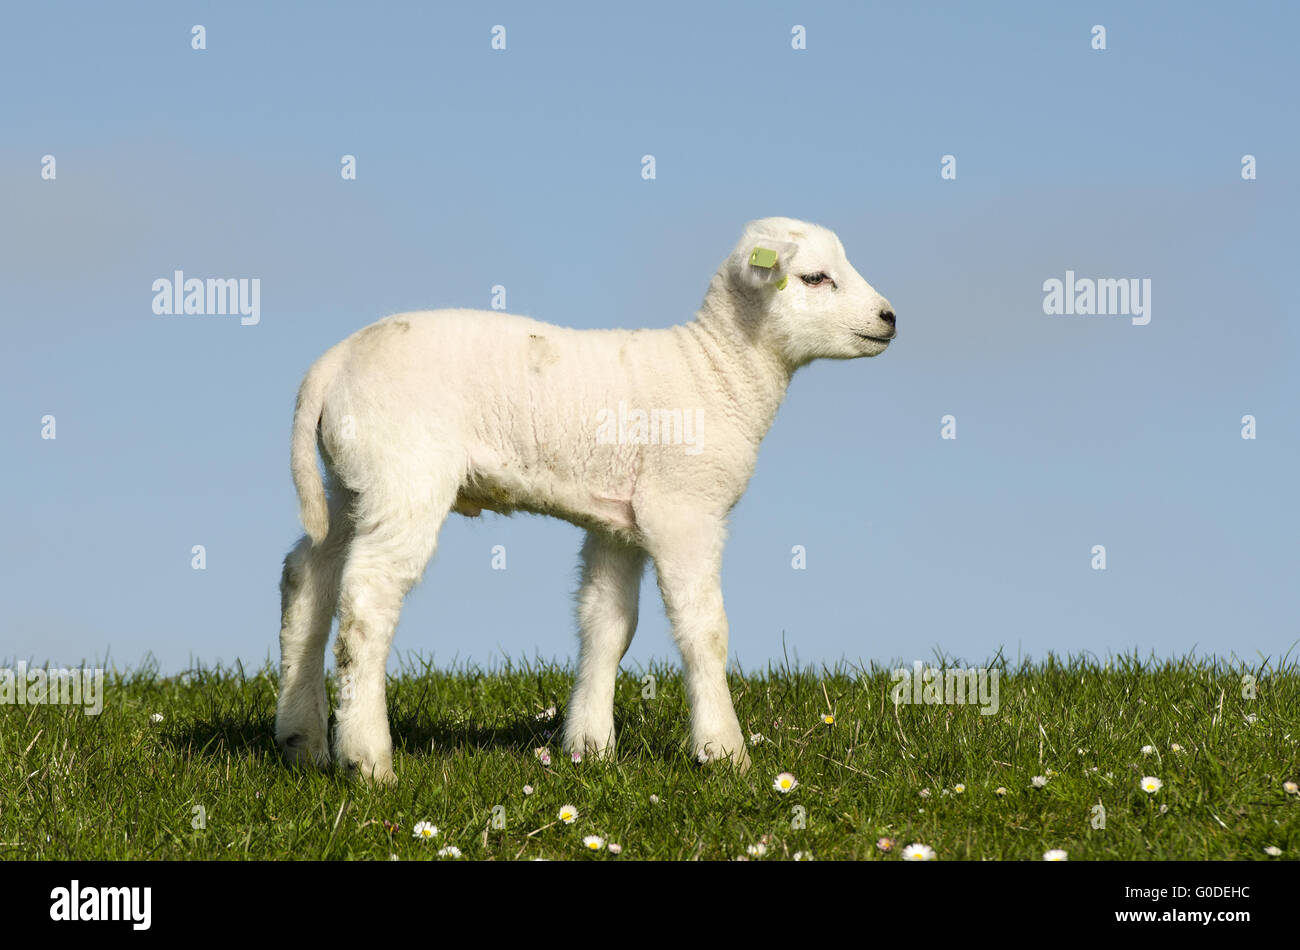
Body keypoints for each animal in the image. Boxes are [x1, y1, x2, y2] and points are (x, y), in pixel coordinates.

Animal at [274, 217, 897, 782]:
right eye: (814, 277)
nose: (890, 318)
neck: (717, 370)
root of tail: (331, 365)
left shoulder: (617, 522)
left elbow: (608, 625)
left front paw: (589, 747)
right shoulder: (684, 510)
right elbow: (705, 629)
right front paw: (723, 751)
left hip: (350, 482)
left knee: (308, 576)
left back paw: (301, 739)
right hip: (405, 474)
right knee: (367, 598)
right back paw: (368, 760)